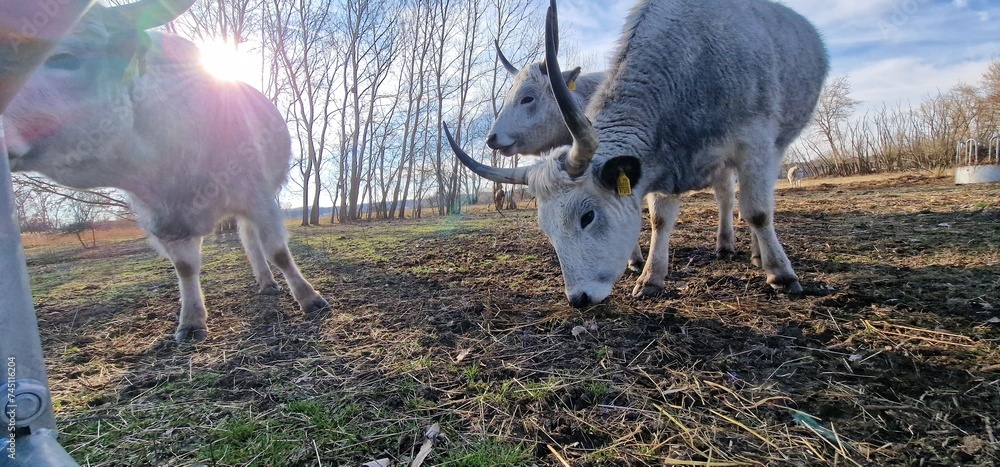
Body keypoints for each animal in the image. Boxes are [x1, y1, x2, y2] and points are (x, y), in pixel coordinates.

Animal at [2, 0, 328, 341]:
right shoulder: (161, 218)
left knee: (251, 239)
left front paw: (309, 297)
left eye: (64, 57)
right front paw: (192, 320)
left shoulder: (259, 197)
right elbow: (184, 267)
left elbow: (278, 251)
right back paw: (264, 282)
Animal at [448, 0, 826, 307]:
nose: (578, 298)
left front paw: (782, 274)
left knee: (742, 201)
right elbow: (659, 219)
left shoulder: (756, 145)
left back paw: (757, 253)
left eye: (587, 216)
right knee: (725, 195)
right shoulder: (661, 161)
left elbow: (759, 213)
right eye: (547, 229)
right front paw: (649, 276)